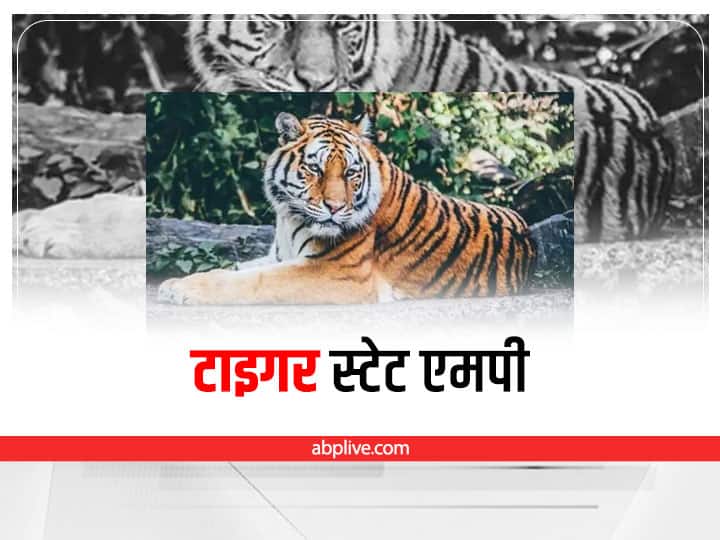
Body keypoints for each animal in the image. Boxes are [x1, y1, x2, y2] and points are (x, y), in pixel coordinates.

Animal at [157, 113, 536, 304]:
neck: (289, 217)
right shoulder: (279, 256)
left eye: (351, 173)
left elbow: (252, 281)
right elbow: (234, 268)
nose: (336, 208)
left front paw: (181, 290)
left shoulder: (337, 271)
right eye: (316, 169)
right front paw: (174, 282)